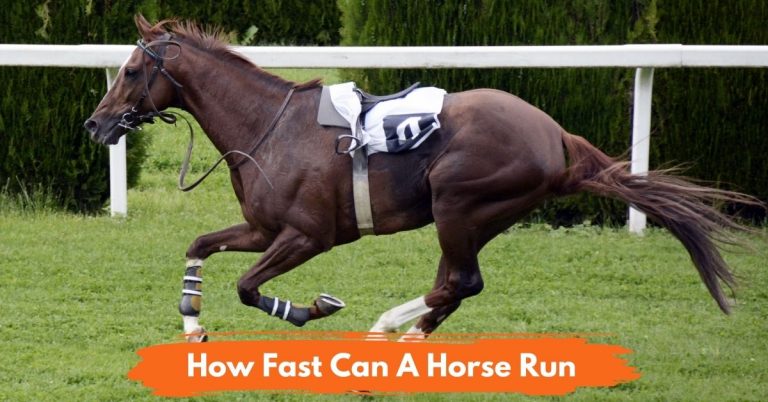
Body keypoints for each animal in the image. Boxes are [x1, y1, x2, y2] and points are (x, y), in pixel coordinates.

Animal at [85, 15, 759, 342]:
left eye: (131, 70)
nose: (95, 124)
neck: (268, 128)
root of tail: (556, 136)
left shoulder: (307, 235)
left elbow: (250, 287)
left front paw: (312, 307)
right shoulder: (263, 227)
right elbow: (199, 246)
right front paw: (192, 322)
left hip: (460, 204)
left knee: (460, 281)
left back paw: (386, 327)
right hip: (469, 216)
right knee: (455, 285)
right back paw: (406, 337)